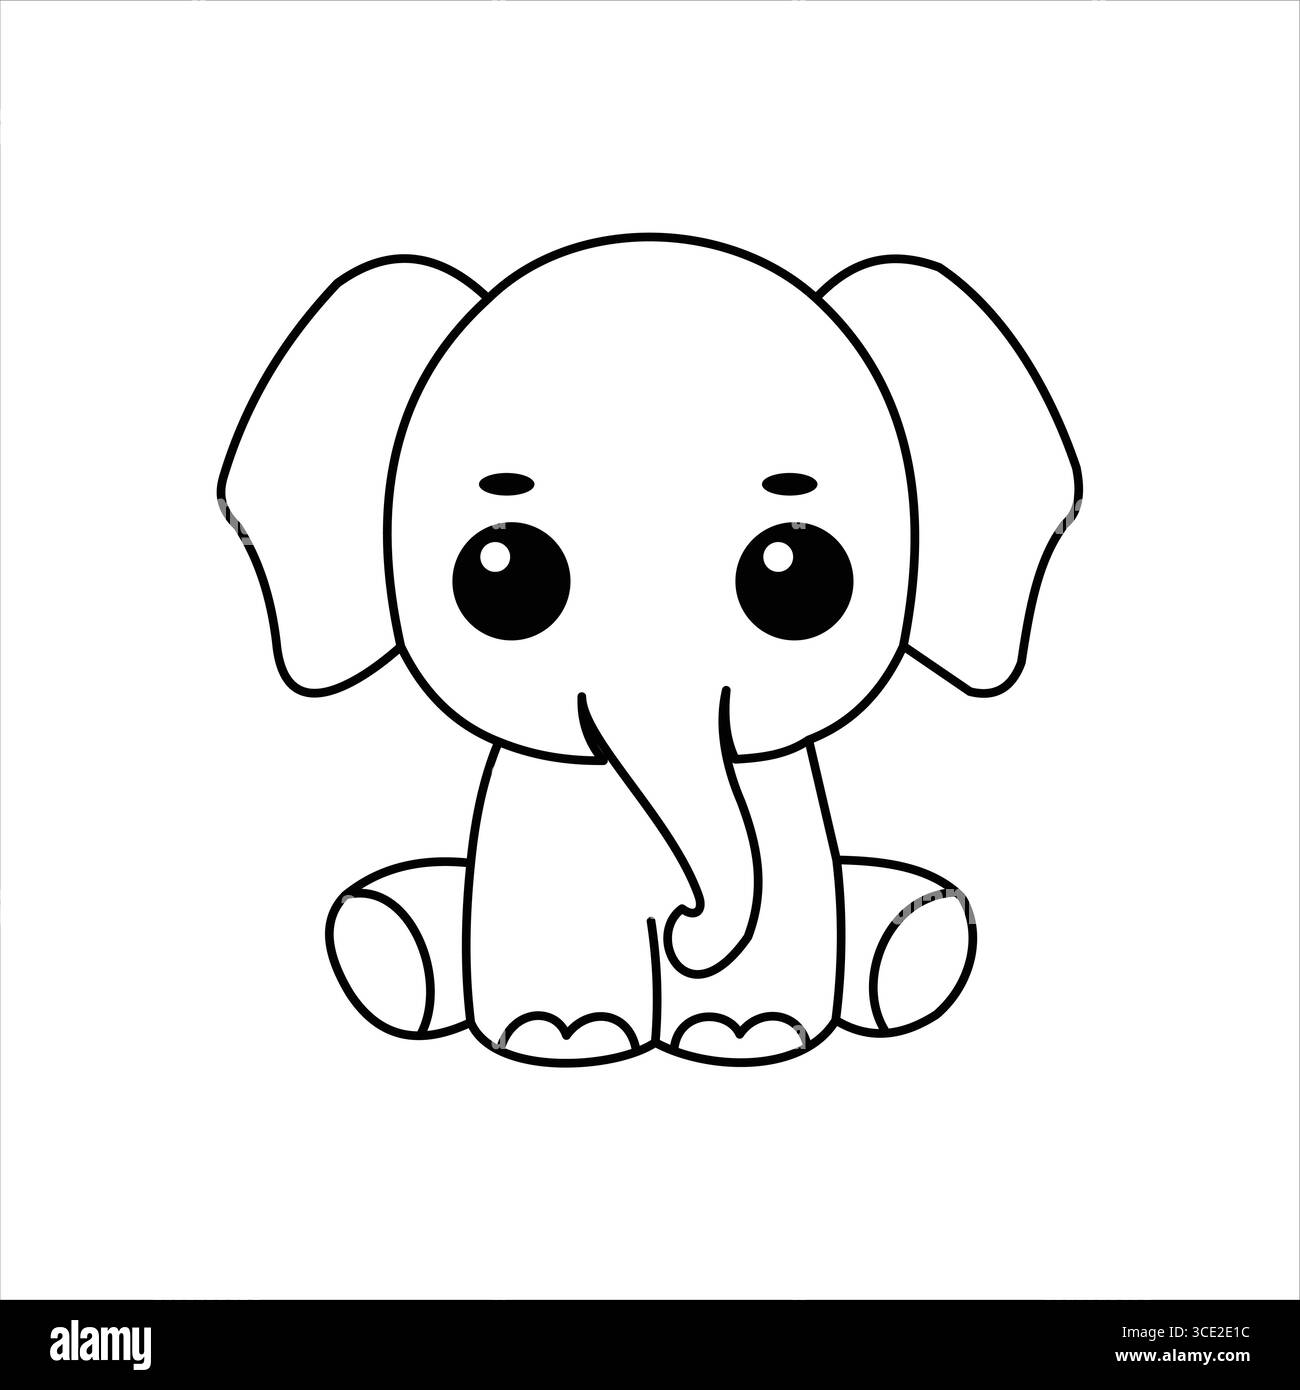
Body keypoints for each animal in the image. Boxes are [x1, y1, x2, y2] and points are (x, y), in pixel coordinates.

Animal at [218, 234, 1081, 1067]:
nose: (682, 925)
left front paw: (745, 1035)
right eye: (501, 574)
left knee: (928, 919)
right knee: (376, 918)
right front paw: (562, 1036)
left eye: (800, 576)